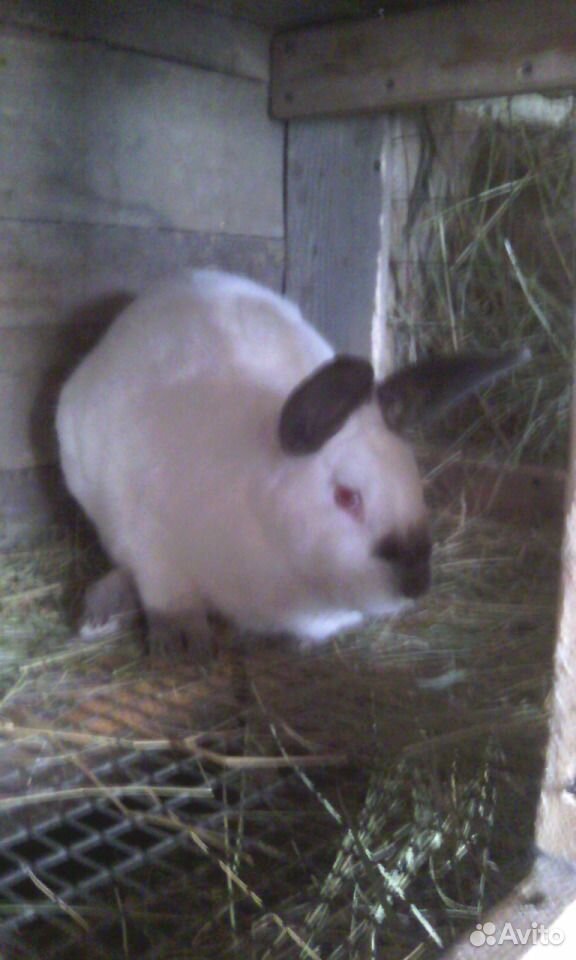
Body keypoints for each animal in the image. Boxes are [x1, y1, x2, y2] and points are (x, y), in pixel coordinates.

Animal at [56, 270, 526, 659]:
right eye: (346, 496)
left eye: (414, 480)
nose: (416, 583)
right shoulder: (152, 544)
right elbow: (168, 597)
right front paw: (185, 643)